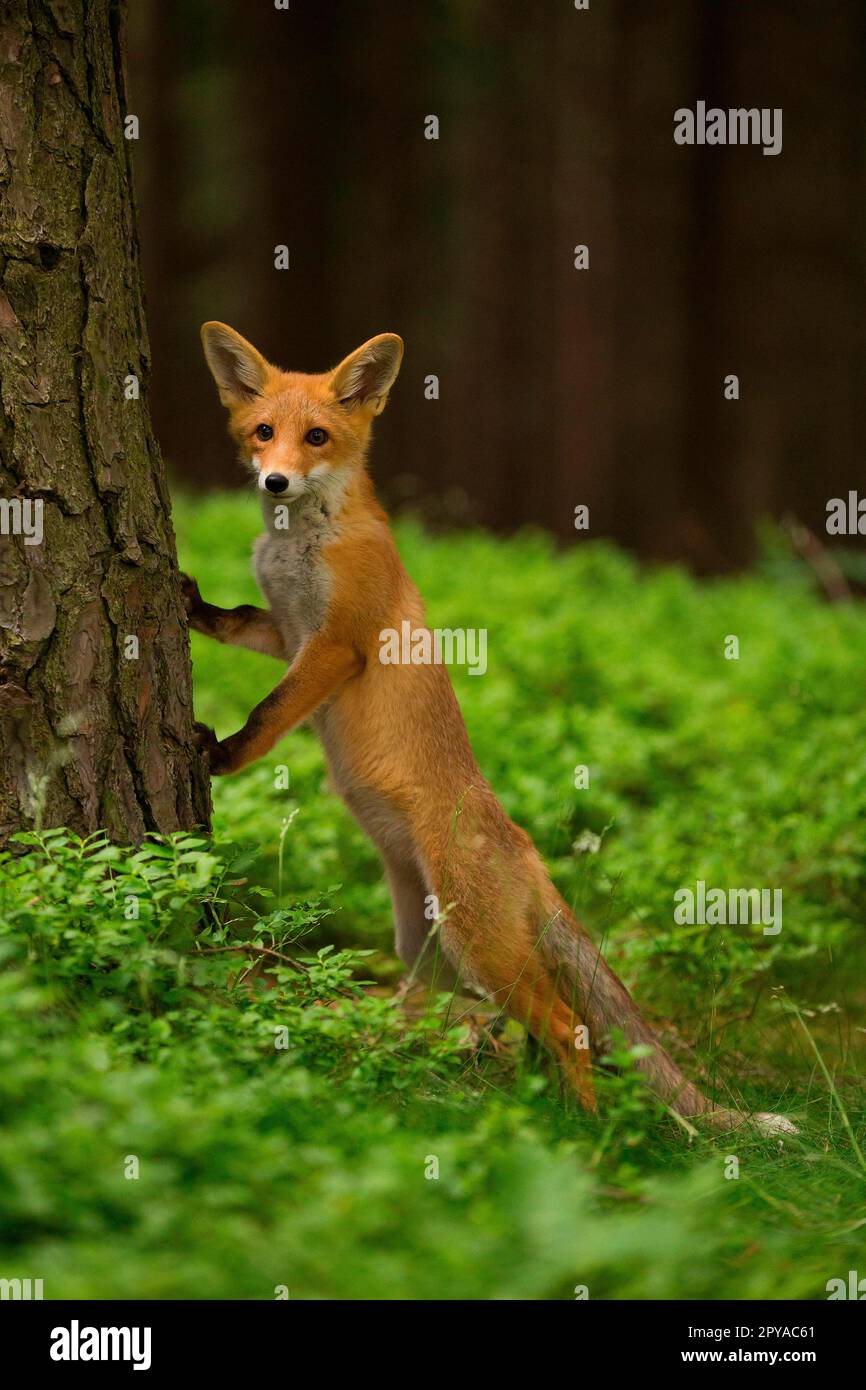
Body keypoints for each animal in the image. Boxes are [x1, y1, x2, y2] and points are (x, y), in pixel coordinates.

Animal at [183, 321, 795, 1137]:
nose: (274, 482)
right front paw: (191, 607)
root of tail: (526, 847)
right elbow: (236, 623)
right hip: (426, 943)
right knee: (471, 1017)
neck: (303, 544)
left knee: (569, 1025)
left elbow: (269, 714)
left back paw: (584, 1134)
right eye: (262, 433)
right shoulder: (287, 632)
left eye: (316, 437)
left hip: (479, 947)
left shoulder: (336, 646)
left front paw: (222, 754)